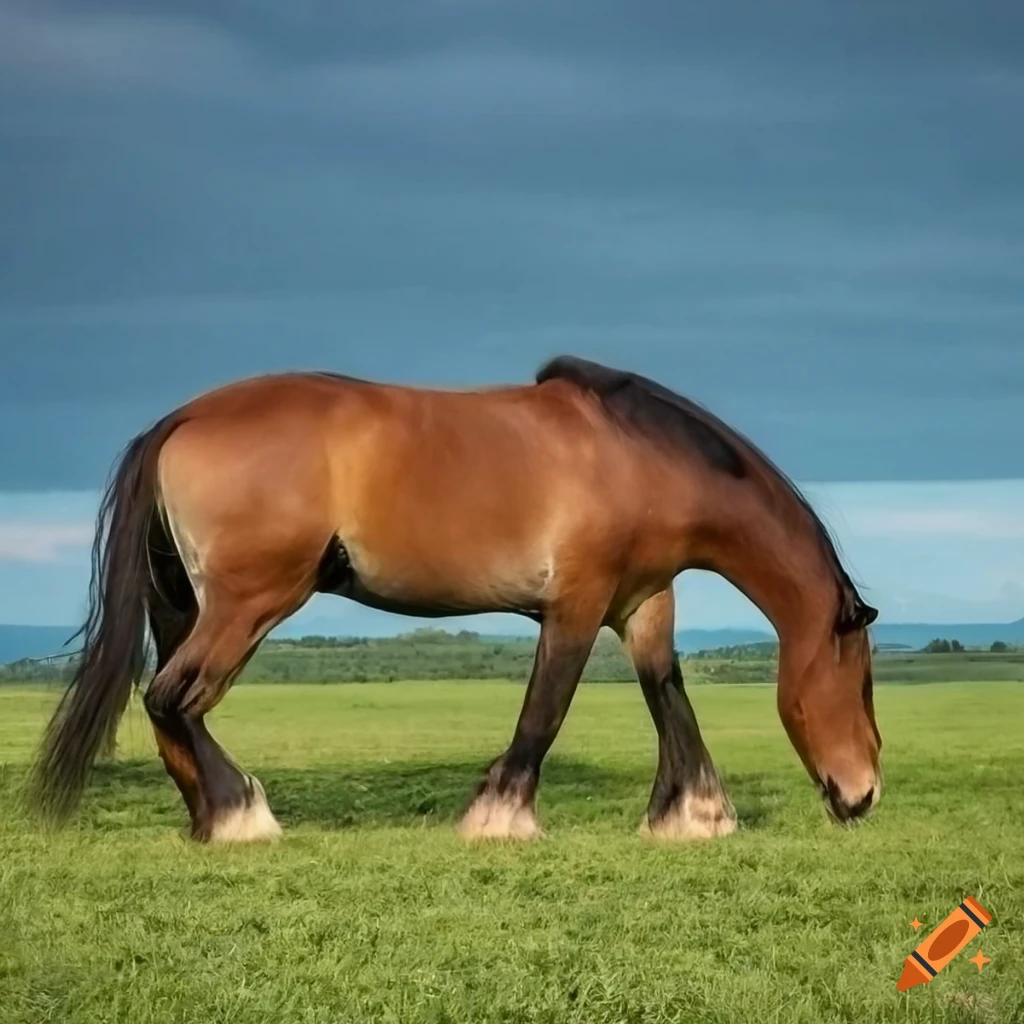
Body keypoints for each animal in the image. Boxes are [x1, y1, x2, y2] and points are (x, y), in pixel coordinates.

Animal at [28, 356, 881, 844]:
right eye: (862, 681)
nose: (863, 794)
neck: (637, 455)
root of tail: (180, 418)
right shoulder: (576, 607)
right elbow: (544, 711)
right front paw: (500, 816)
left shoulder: (641, 605)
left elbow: (668, 697)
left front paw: (695, 813)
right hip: (251, 603)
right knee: (173, 698)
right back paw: (243, 816)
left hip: (186, 607)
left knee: (172, 709)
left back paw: (212, 818)